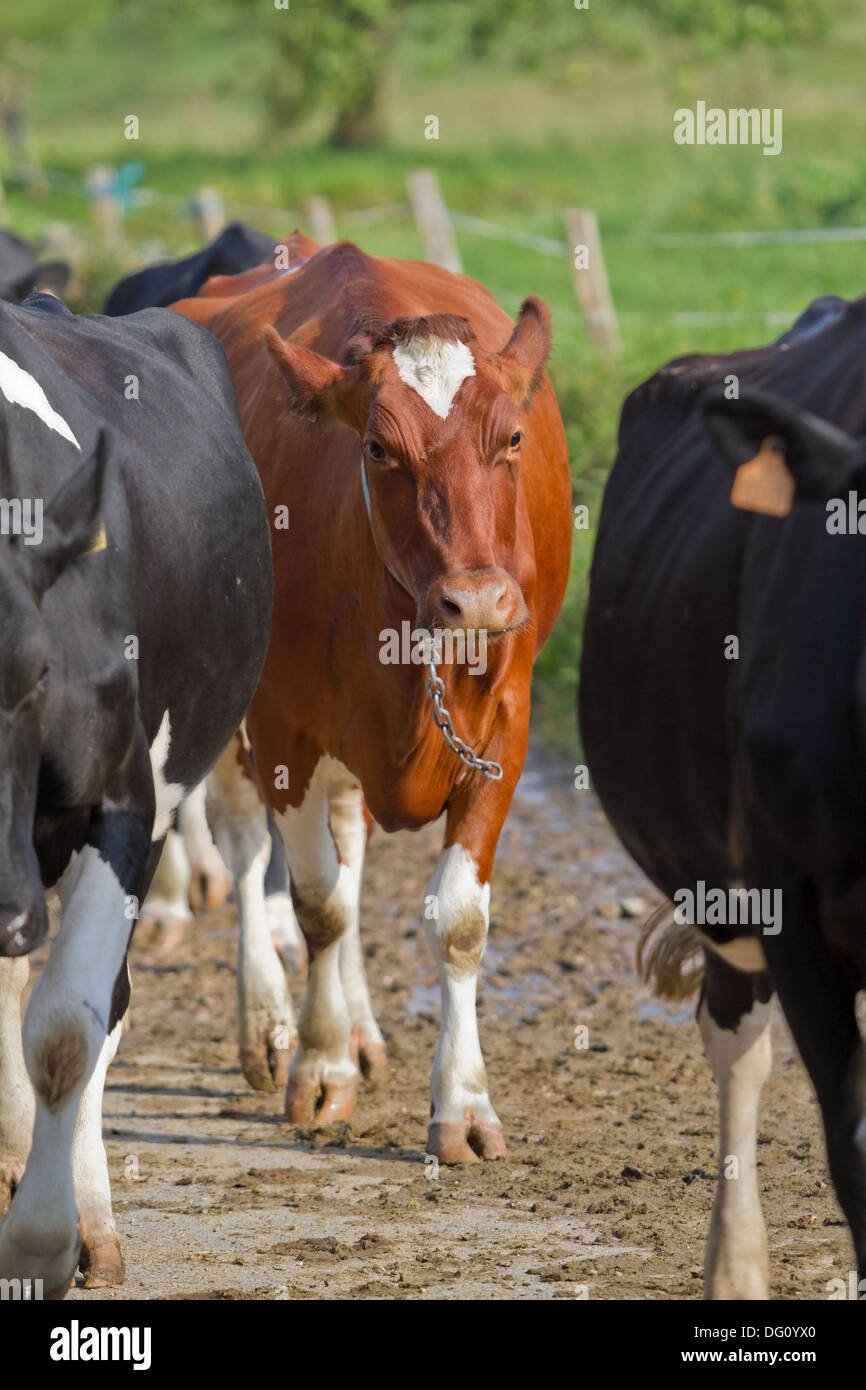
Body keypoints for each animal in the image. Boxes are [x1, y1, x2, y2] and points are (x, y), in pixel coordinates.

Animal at [0, 292, 272, 1295]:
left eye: (35, 677)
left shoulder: (123, 806)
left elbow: (66, 1034)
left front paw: (43, 1242)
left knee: (98, 1010)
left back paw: (92, 1220)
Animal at [173, 234, 573, 1161]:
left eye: (512, 437)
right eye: (379, 450)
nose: (479, 601)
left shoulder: (505, 729)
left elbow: (456, 920)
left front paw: (462, 1104)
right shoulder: (282, 724)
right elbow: (315, 903)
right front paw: (318, 1066)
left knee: (351, 851)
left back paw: (360, 1028)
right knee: (246, 846)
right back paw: (270, 1026)